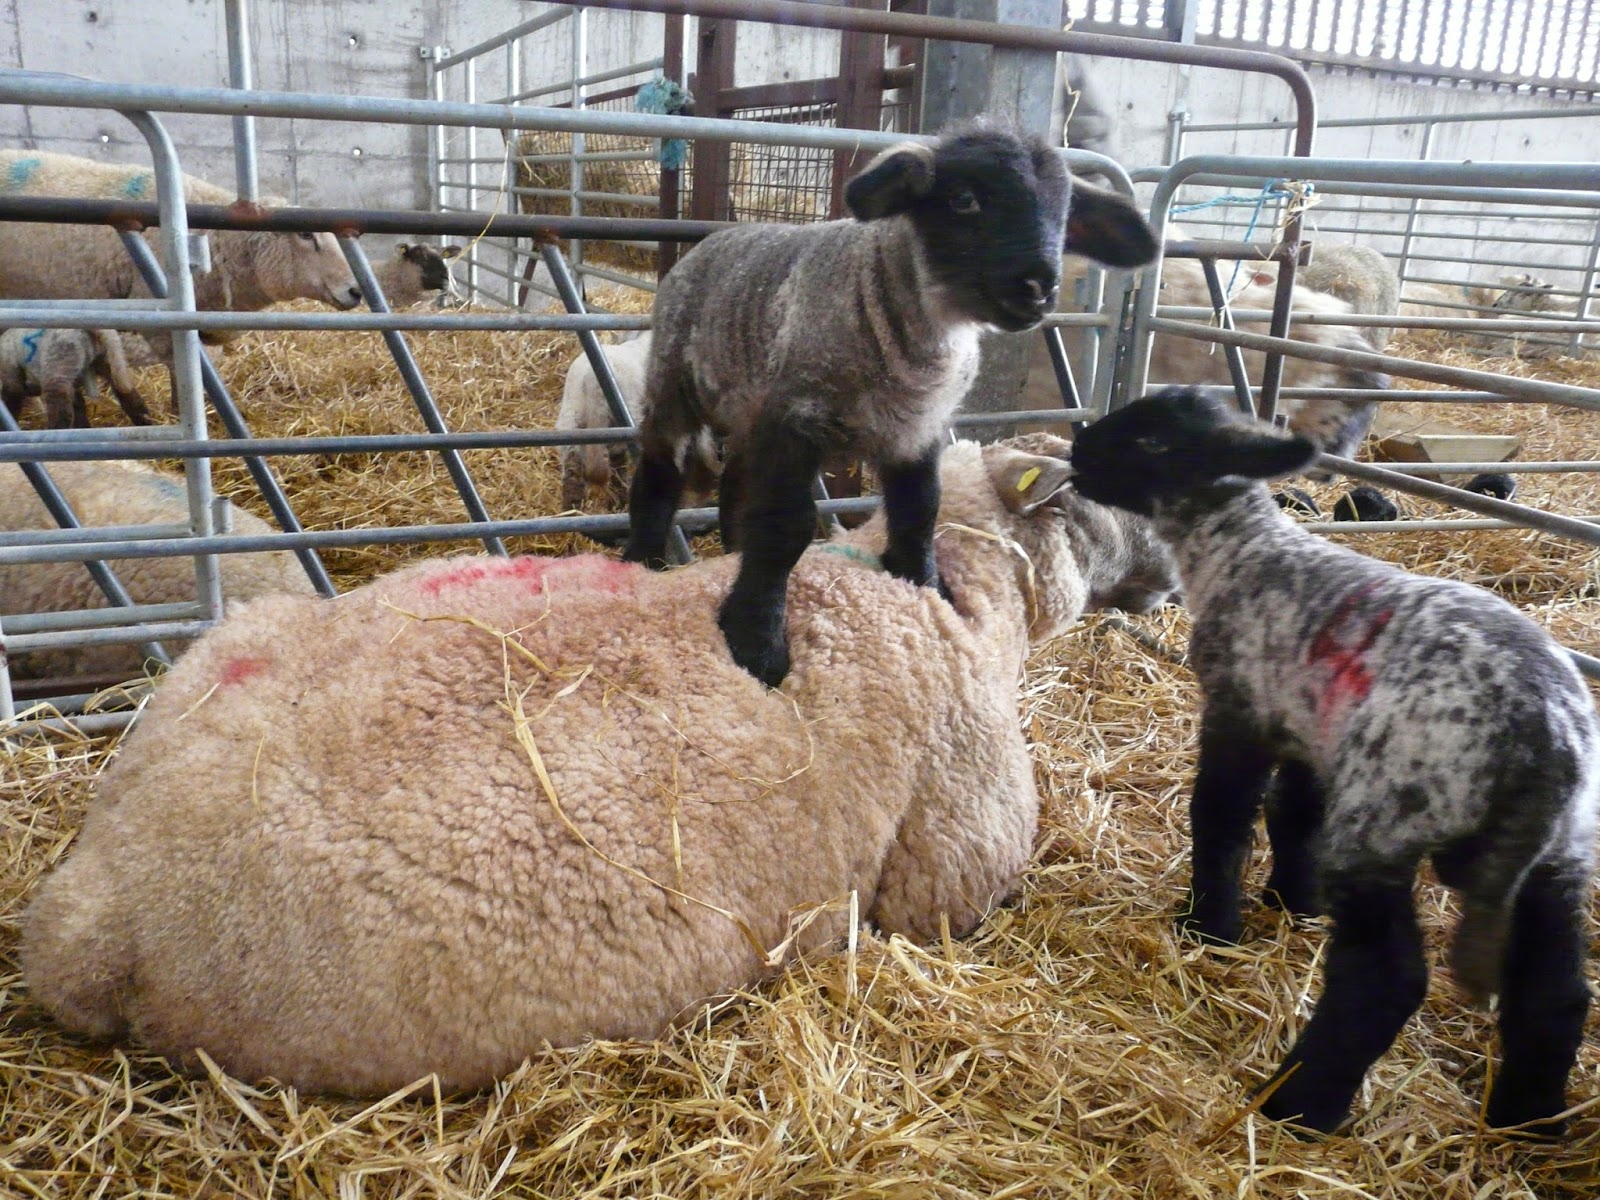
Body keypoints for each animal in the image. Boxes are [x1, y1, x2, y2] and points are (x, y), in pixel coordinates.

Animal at [0, 150, 362, 402]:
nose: (356, 291)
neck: (215, 240)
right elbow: (183, 373)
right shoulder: (162, 319)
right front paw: (184, 410)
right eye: (305, 234)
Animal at [0, 326, 152, 428]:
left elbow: (11, 404)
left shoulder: (11, 378)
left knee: (61, 413)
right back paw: (147, 422)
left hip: (58, 369)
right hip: (107, 362)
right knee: (130, 397)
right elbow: (78, 406)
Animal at [623, 123, 1157, 687]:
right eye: (963, 199)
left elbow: (919, 509)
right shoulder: (796, 419)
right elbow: (785, 526)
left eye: (1066, 212)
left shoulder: (917, 428)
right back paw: (643, 557)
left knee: (737, 482)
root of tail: (717, 237)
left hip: (751, 404)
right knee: (661, 465)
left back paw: (729, 550)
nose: (1038, 286)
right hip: (675, 381)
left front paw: (931, 588)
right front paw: (757, 640)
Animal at [1067, 386, 1600, 1136]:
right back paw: (1528, 1120)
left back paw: (1298, 1103)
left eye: (1151, 441)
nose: (1076, 449)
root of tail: (1543, 738)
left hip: (1390, 812)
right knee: (1557, 990)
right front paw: (1293, 900)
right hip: (1561, 852)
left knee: (1386, 978)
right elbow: (1293, 815)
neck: (1238, 552)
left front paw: (1209, 925)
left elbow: (1222, 817)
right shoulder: (1310, 730)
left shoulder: (1240, 711)